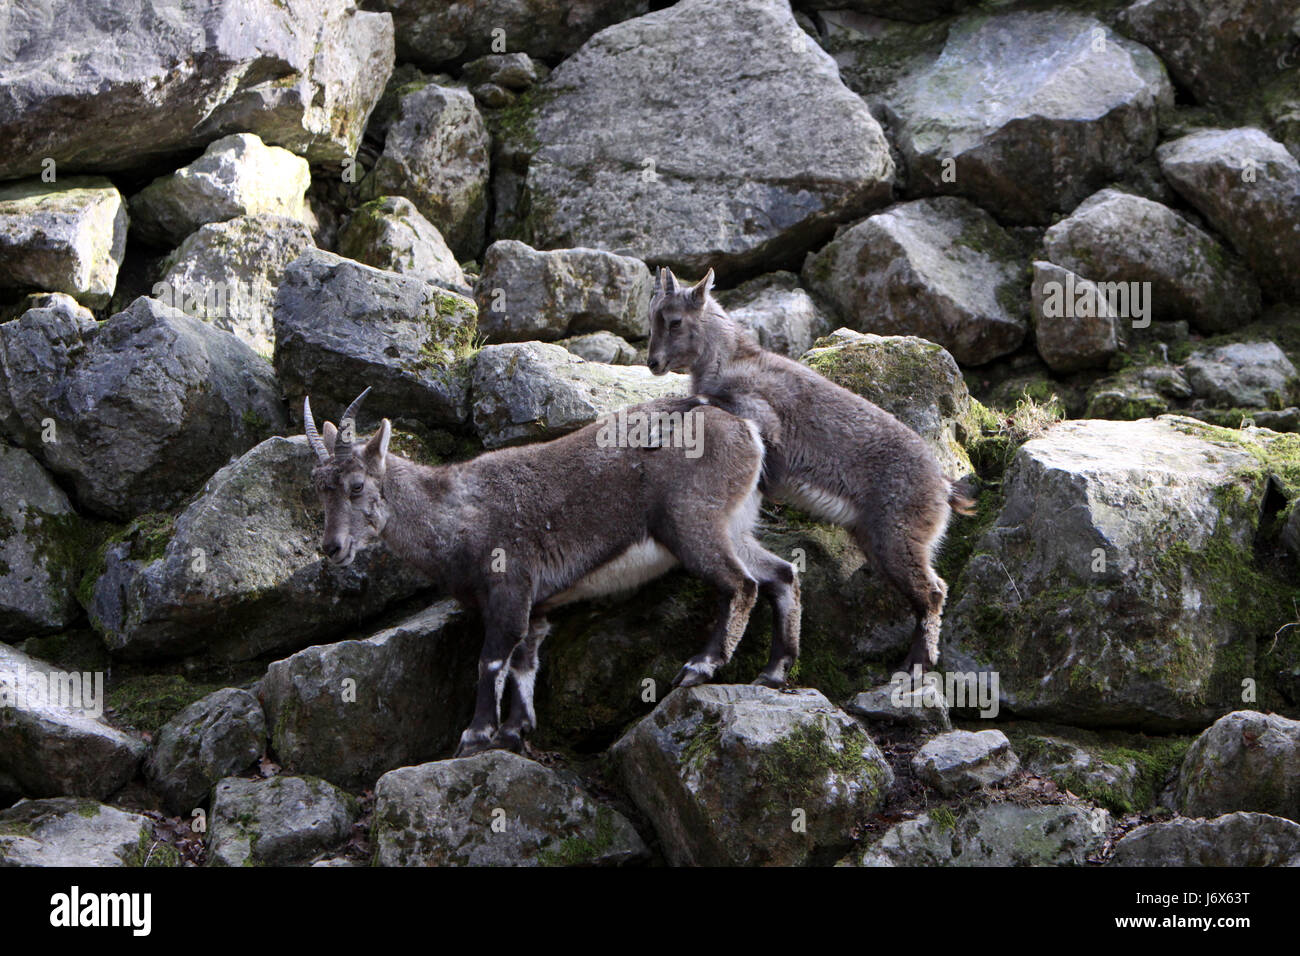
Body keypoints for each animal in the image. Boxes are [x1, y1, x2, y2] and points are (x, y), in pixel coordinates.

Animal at [303, 388, 801, 757]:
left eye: (356, 485)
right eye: (318, 488)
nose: (333, 548)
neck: (454, 512)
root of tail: (746, 431)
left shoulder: (510, 586)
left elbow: (492, 658)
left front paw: (476, 735)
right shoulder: (535, 603)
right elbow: (525, 660)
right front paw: (515, 729)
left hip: (692, 523)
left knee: (741, 583)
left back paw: (702, 666)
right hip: (734, 525)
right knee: (782, 574)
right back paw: (775, 671)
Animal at [646, 268, 974, 676]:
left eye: (675, 321)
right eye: (652, 318)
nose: (652, 363)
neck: (731, 361)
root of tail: (943, 488)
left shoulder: (761, 416)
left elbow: (703, 400)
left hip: (898, 538)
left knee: (932, 592)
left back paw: (914, 664)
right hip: (879, 540)